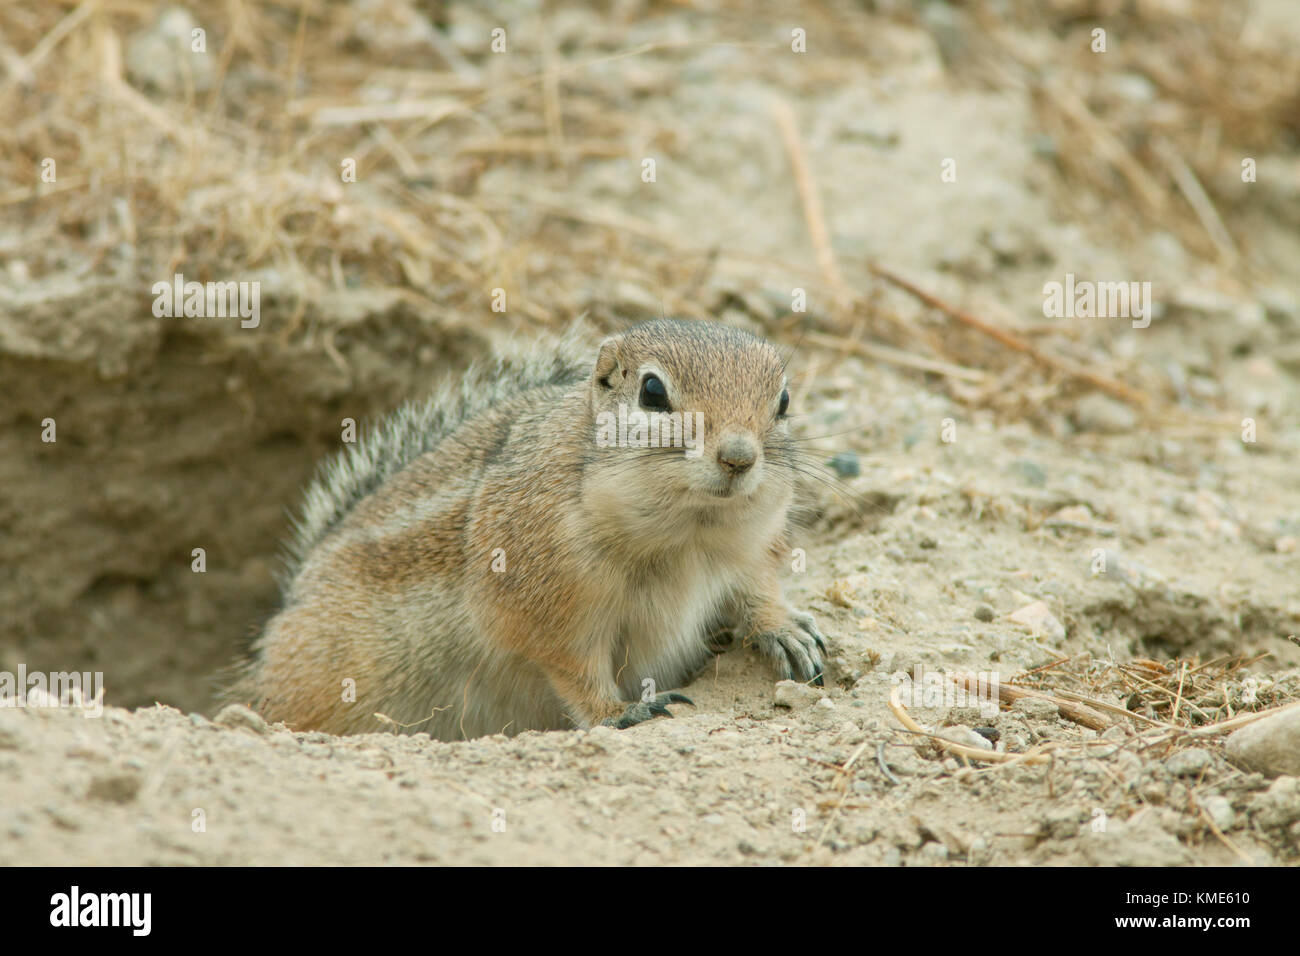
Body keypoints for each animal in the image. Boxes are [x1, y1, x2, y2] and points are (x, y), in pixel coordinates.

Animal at [230, 318, 828, 739]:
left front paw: (786, 628)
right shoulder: (540, 601)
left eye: (783, 401)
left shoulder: (749, 549)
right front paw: (620, 710)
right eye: (653, 392)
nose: (738, 457)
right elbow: (571, 665)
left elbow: (757, 588)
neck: (689, 533)